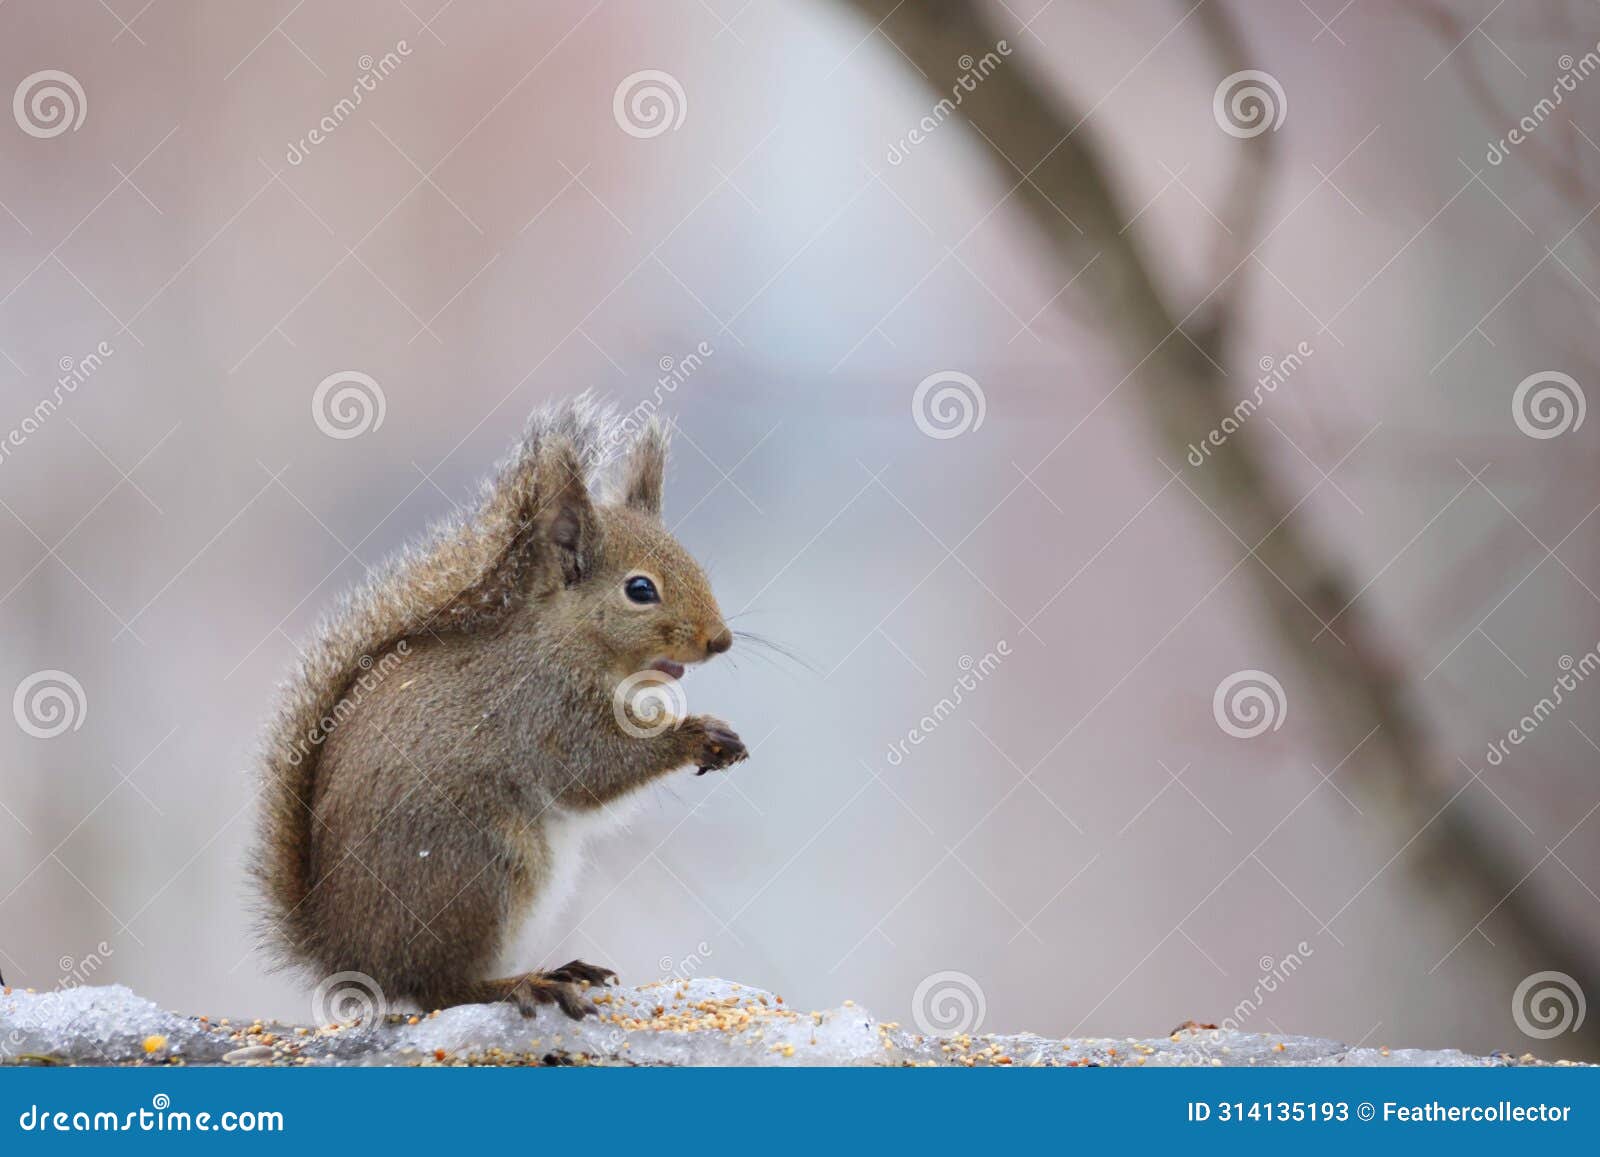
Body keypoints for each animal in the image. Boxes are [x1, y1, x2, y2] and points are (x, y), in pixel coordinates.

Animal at [250, 396, 747, 1019]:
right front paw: (696, 735)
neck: (568, 640)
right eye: (640, 590)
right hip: (475, 869)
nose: (719, 641)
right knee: (436, 987)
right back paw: (522, 984)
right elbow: (592, 771)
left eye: (696, 565)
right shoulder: (543, 708)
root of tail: (351, 956)